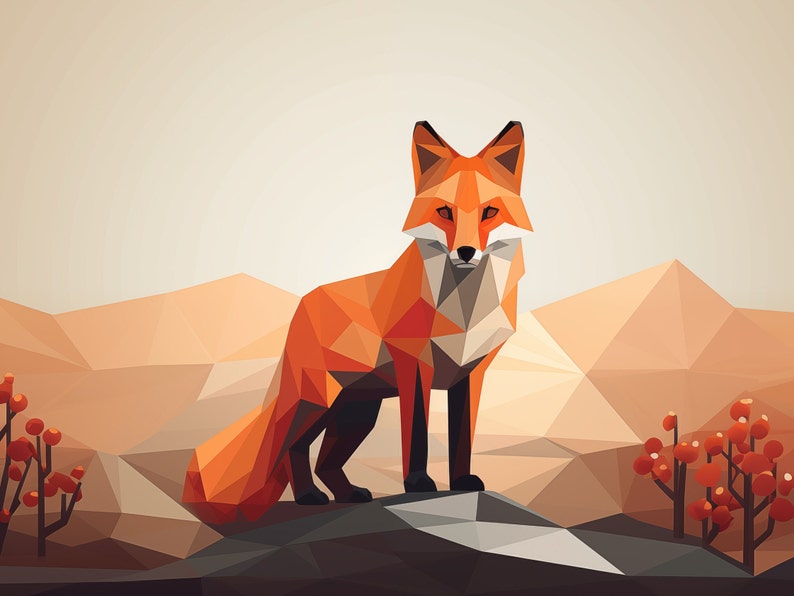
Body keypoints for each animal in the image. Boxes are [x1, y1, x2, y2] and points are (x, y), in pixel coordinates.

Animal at [183, 121, 533, 524]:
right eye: (445, 212)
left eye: (489, 211)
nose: (465, 251)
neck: (464, 307)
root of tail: (303, 304)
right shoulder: (415, 367)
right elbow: (417, 435)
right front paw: (418, 483)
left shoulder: (471, 374)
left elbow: (462, 438)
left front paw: (461, 481)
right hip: (314, 402)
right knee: (292, 450)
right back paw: (308, 497)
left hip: (356, 414)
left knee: (325, 461)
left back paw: (347, 494)